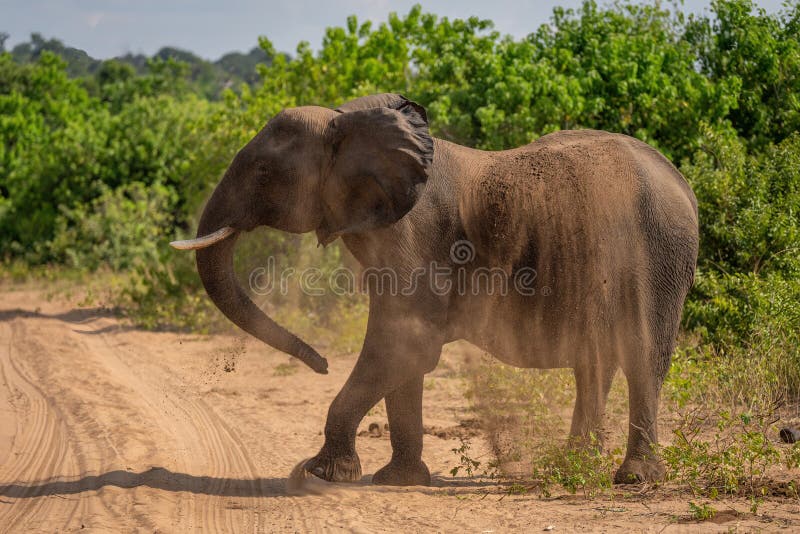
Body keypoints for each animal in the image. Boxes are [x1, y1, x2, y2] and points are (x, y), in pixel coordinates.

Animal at [171, 93, 699, 486]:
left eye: (264, 173)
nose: (320, 363)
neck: (349, 124)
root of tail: (682, 182)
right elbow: (404, 353)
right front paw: (397, 480)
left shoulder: (412, 237)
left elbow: (405, 344)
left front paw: (319, 474)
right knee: (595, 364)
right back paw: (570, 466)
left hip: (657, 253)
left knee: (642, 358)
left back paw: (633, 479)